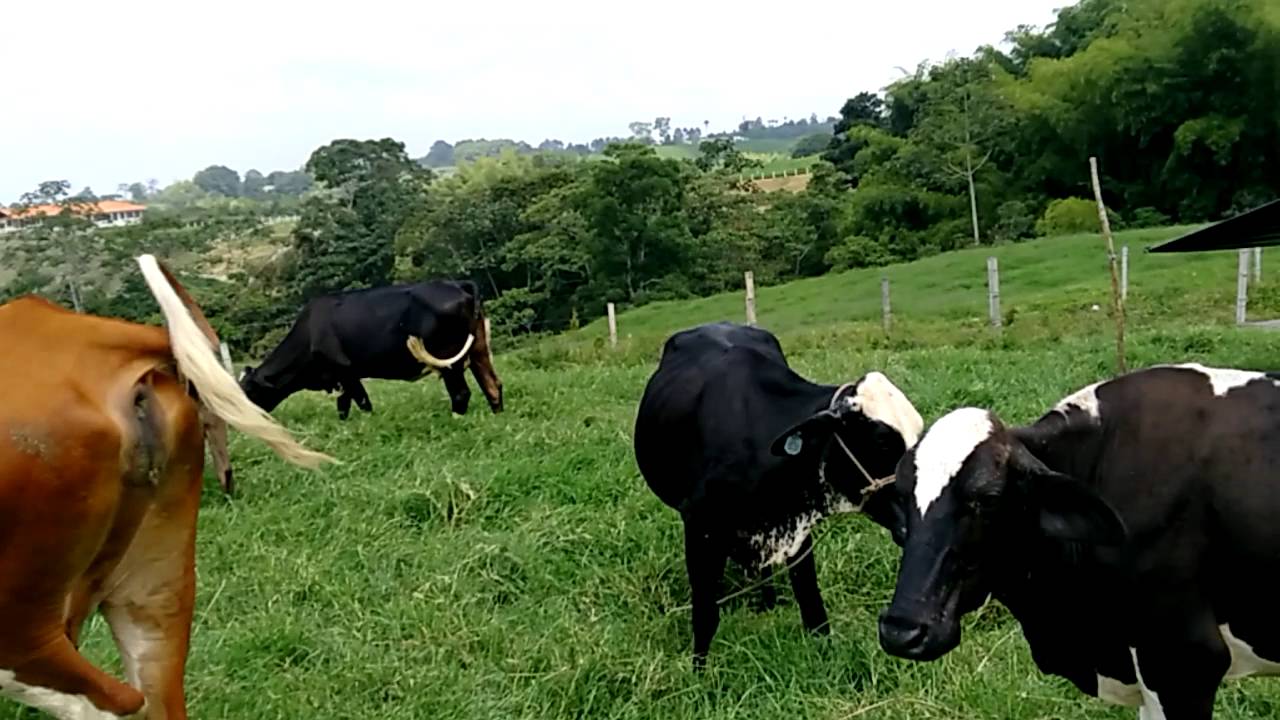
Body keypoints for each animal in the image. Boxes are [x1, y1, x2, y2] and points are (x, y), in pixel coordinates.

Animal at [238, 279, 504, 421]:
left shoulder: (346, 371)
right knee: (492, 385)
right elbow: (343, 406)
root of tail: (458, 284)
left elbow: (363, 402)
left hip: (448, 358)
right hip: (478, 349)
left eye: (249, 391)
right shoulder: (341, 378)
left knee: (461, 393)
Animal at [633, 322, 923, 668]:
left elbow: (812, 607)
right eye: (881, 442)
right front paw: (698, 673)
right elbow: (705, 614)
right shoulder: (699, 525)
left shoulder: (796, 525)